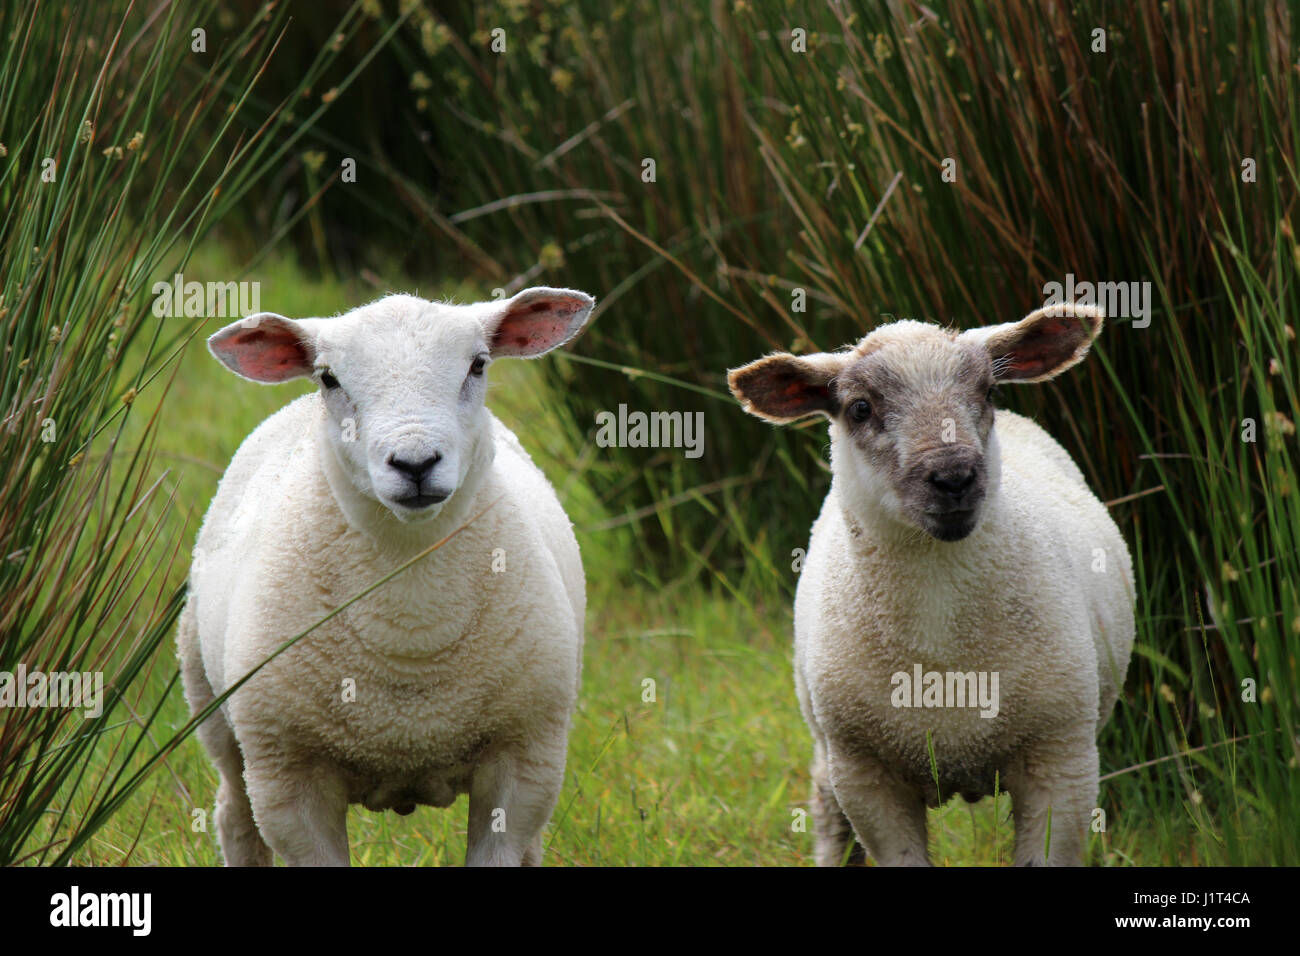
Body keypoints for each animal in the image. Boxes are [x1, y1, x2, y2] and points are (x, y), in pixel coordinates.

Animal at [177, 287, 596, 867]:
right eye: (329, 378)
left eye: (478, 364)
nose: (415, 463)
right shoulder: (287, 778)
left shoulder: (526, 758)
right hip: (214, 712)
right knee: (235, 818)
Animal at [728, 303, 1134, 866]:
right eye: (859, 408)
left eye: (988, 391)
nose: (954, 477)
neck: (941, 646)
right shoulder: (867, 775)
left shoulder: (1062, 759)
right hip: (825, 739)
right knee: (828, 814)